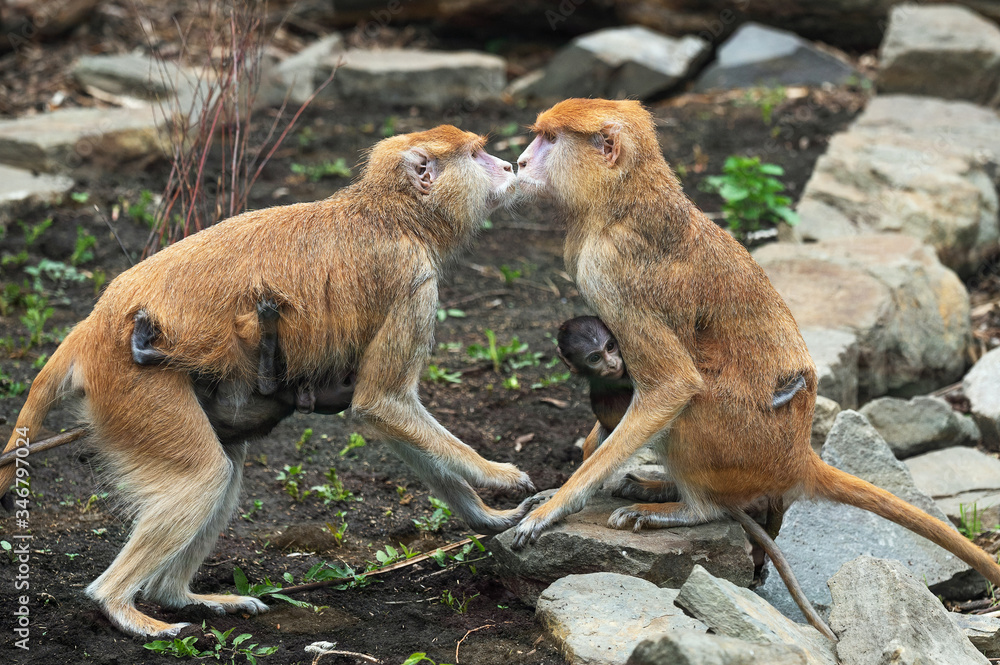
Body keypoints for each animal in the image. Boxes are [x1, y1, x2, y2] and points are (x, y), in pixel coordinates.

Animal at [0, 126, 535, 638]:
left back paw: (182, 596)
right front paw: (500, 475)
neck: (393, 213)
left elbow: (385, 417)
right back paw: (121, 607)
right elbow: (382, 402)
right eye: (477, 154)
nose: (509, 165)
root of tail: (92, 325)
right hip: (133, 385)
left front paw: (489, 517)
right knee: (203, 475)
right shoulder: (412, 280)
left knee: (226, 466)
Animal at [510, 99, 1000, 639]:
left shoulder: (610, 271)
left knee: (695, 411)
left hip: (740, 438)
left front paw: (552, 508)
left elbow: (673, 385)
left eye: (550, 139)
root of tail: (798, 457)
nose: (521, 162)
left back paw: (687, 507)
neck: (621, 199)